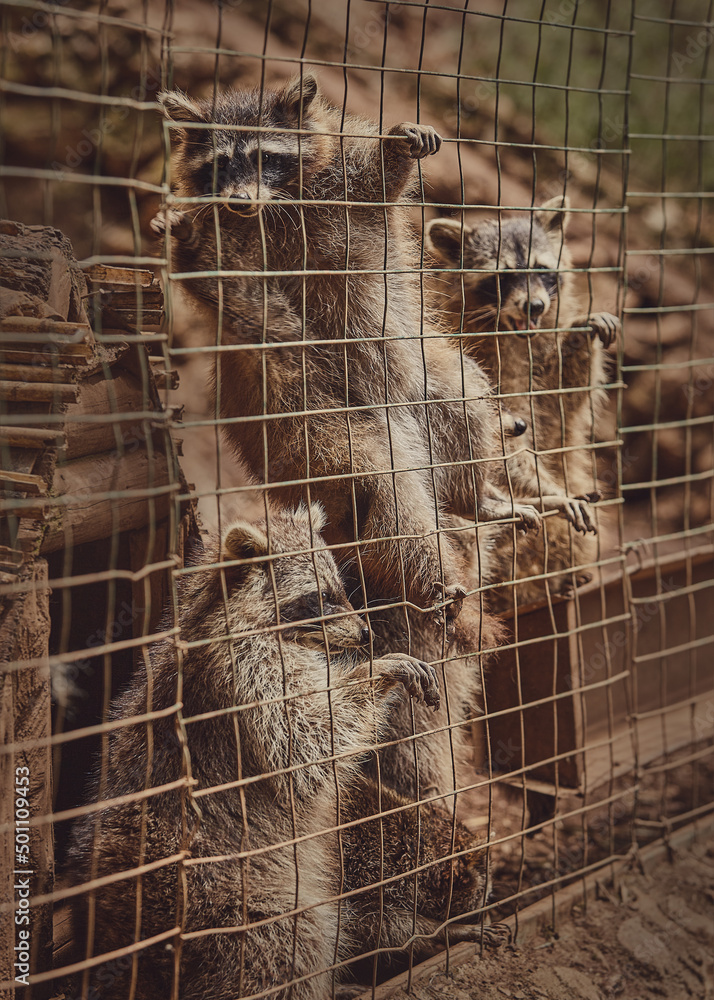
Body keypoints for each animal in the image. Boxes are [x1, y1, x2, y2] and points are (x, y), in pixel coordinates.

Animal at [64, 504, 441, 1000]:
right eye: (321, 598)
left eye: (341, 590)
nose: (364, 633)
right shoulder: (248, 673)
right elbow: (303, 746)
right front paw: (375, 672)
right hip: (219, 895)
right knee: (293, 937)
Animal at [427, 197, 619, 611]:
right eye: (503, 277)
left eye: (542, 271)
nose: (535, 306)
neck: (514, 335)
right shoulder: (477, 368)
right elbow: (501, 441)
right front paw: (548, 492)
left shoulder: (543, 368)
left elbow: (566, 399)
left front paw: (581, 333)